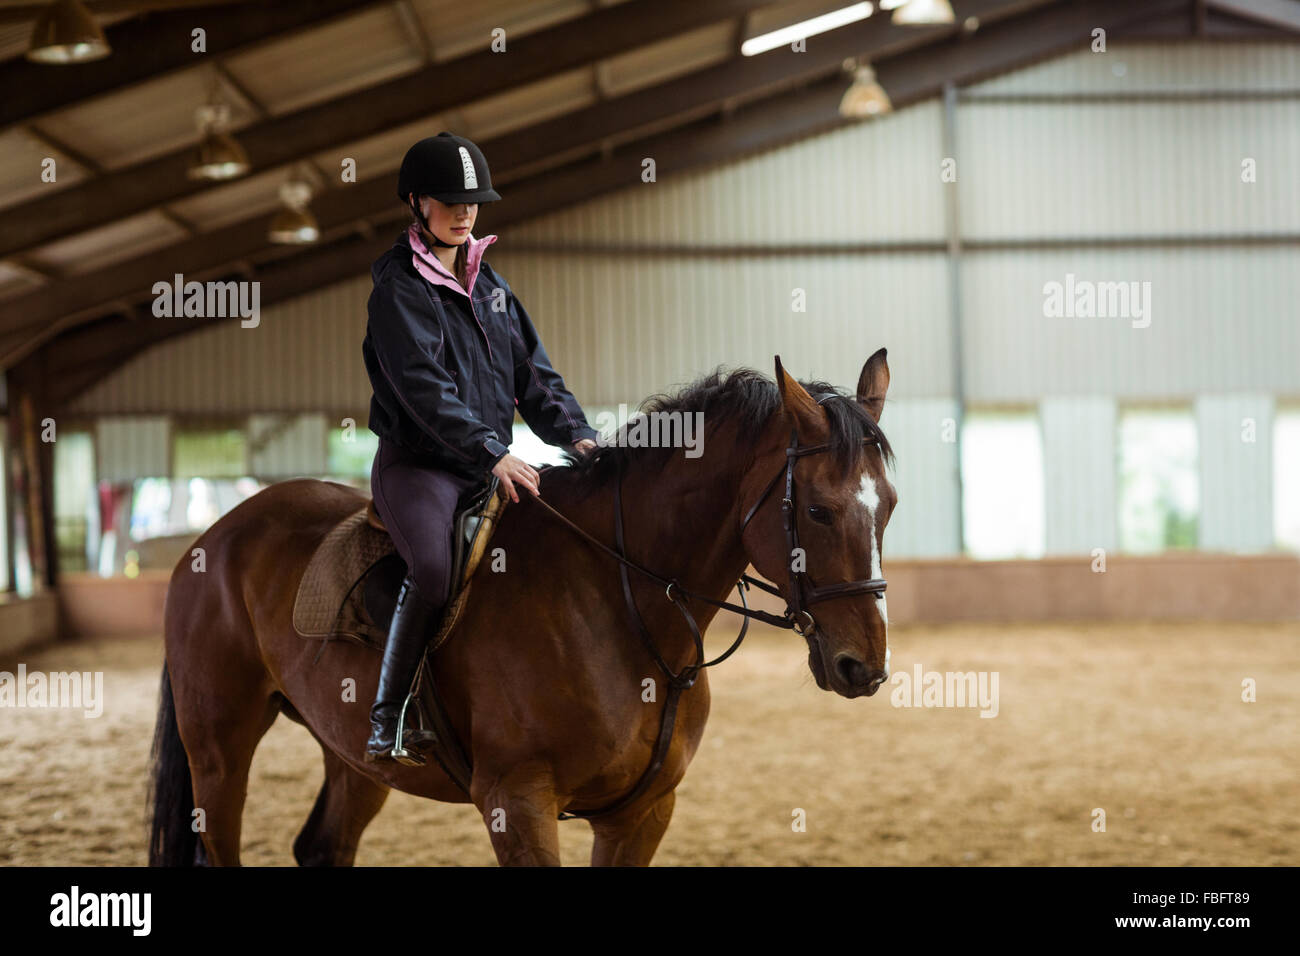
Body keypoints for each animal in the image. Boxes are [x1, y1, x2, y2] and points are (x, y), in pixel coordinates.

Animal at [147, 350, 896, 866]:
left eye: (887, 504)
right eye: (818, 510)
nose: (864, 667)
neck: (622, 605)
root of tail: (211, 540)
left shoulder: (642, 813)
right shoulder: (518, 803)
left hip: (353, 758)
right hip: (219, 749)